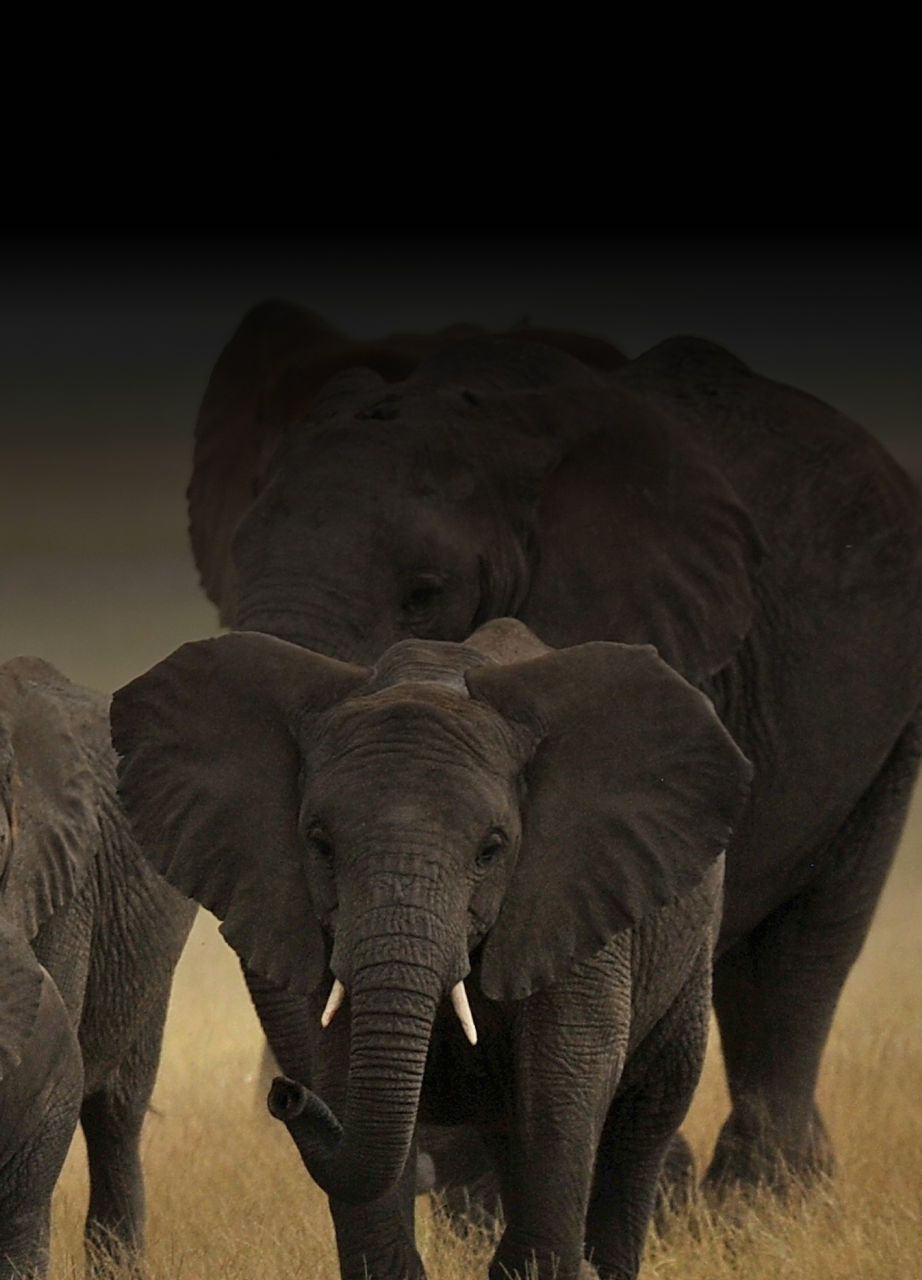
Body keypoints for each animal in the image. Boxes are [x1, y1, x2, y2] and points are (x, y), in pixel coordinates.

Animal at [110, 617, 752, 1280]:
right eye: (320, 844)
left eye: (491, 850)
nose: (283, 1093)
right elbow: (351, 1085)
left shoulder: (574, 893)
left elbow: (563, 1084)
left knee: (646, 1114)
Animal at [183, 298, 922, 1207]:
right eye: (229, 573)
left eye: (424, 594)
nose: (287, 1101)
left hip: (891, 722)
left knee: (808, 944)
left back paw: (759, 1202)